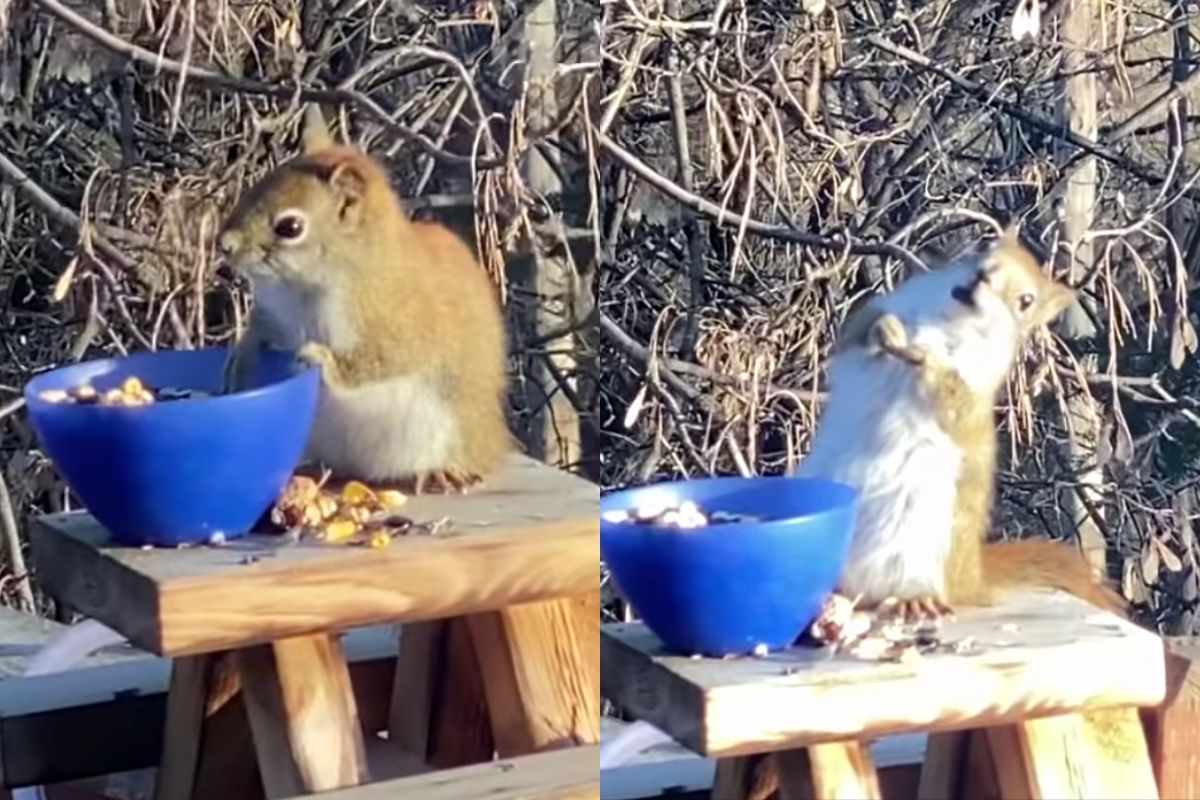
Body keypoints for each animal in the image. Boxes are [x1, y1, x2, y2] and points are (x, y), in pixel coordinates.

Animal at [218, 107, 514, 493]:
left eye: (290, 227)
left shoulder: (400, 328)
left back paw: (440, 472)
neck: (303, 287)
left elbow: (372, 363)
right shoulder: (274, 313)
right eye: (256, 187)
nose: (224, 244)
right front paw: (239, 359)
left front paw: (322, 360)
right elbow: (259, 332)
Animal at [796, 228, 1125, 622]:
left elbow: (955, 401)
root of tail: (969, 579)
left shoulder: (978, 385)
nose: (982, 277)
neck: (950, 319)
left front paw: (930, 362)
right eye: (985, 248)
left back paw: (912, 599)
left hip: (918, 544)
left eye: (1026, 301)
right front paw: (886, 329)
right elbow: (858, 331)